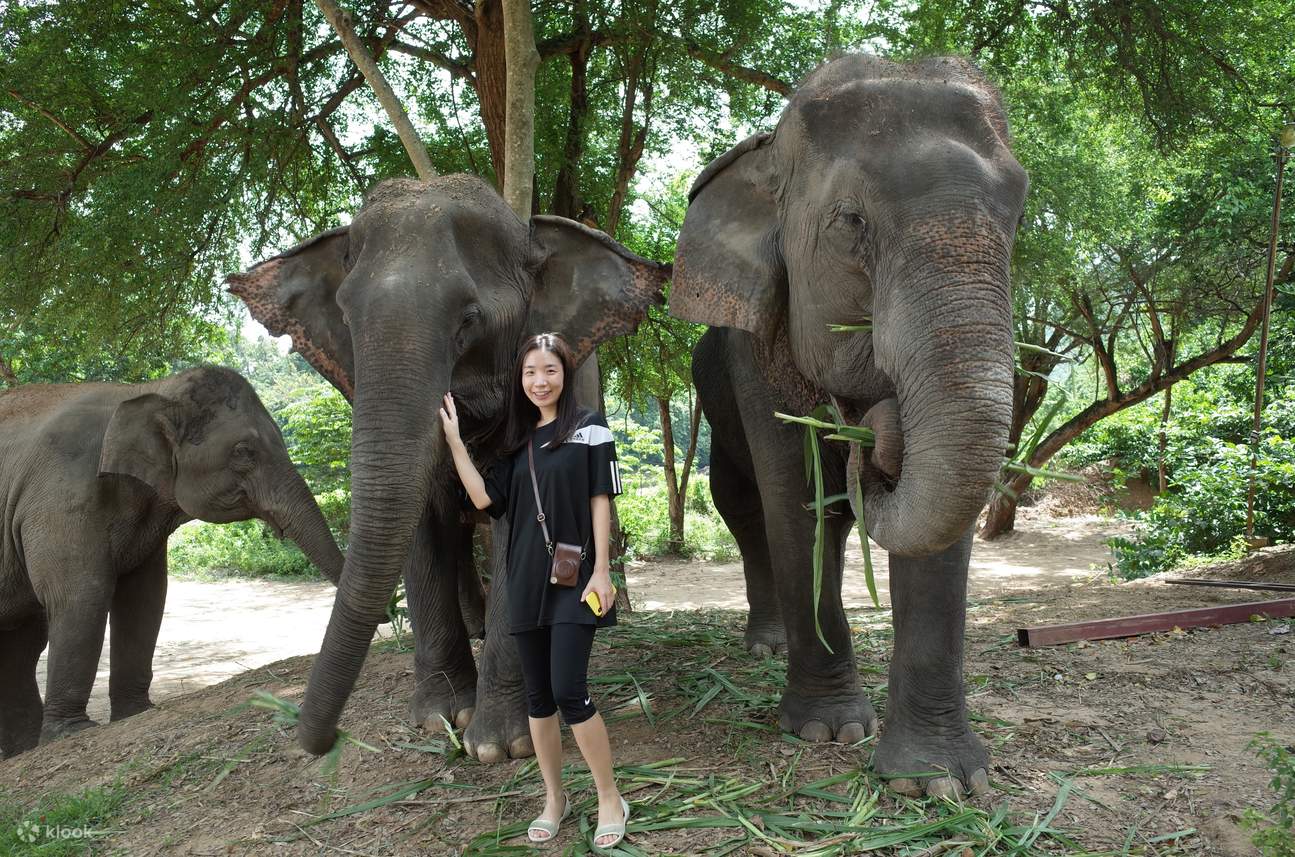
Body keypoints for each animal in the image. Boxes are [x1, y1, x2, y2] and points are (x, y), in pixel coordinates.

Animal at [0, 366, 345, 758]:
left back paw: (22, 751)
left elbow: (145, 597)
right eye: (244, 452)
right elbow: (80, 596)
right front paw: (72, 733)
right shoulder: (62, 496)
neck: (148, 391)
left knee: (20, 646)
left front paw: (136, 712)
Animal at [227, 174, 668, 760]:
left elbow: (513, 530)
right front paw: (440, 720)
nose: (320, 741)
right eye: (345, 317)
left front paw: (501, 745)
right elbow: (420, 523)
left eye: (469, 319)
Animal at [669, 55, 1027, 797]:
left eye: (1019, 214)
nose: (875, 436)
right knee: (744, 507)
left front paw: (941, 782)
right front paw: (826, 731)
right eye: (851, 221)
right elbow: (796, 502)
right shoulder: (755, 356)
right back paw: (768, 644)